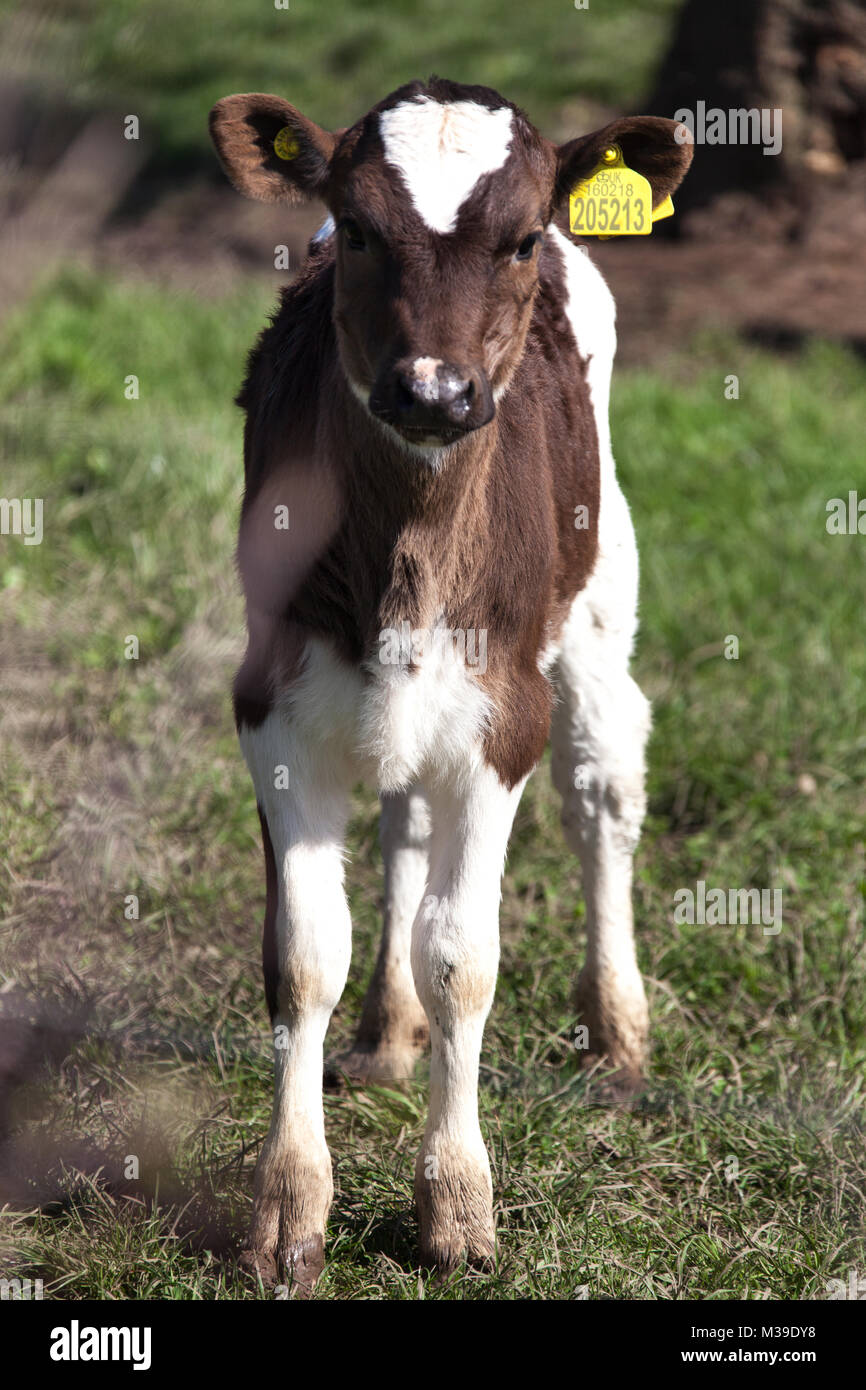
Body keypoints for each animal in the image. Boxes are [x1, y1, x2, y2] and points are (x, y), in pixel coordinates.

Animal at [208, 76, 692, 1292]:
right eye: (360, 230)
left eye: (515, 239)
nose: (431, 389)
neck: (409, 552)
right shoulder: (271, 700)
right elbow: (302, 957)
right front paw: (289, 1210)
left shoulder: (502, 717)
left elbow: (463, 958)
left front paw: (457, 1203)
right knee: (402, 822)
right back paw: (387, 1034)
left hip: (596, 597)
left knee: (602, 784)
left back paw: (617, 1036)